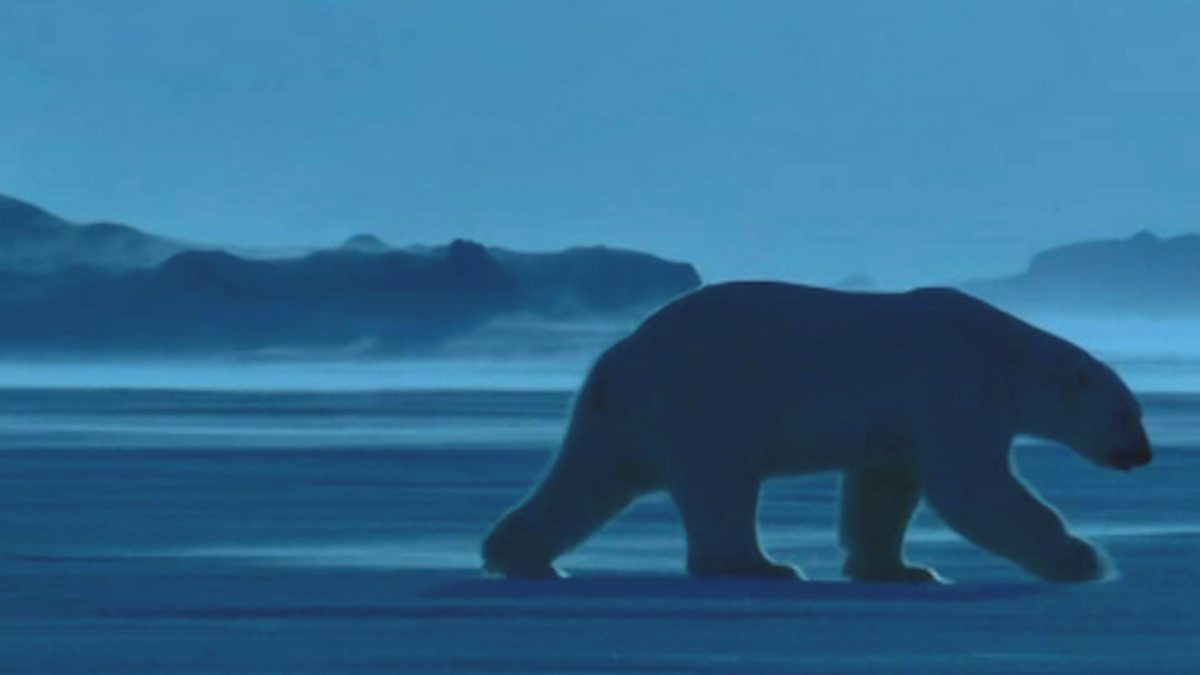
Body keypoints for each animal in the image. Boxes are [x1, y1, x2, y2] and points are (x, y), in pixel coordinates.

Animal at [482, 281, 1153, 582]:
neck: (1001, 355)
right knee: (720, 489)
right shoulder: (952, 394)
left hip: (619, 421)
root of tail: (615, 359)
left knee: (586, 480)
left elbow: (882, 489)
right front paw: (1084, 557)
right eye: (1129, 413)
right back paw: (758, 565)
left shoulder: (900, 425)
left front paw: (897, 568)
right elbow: (975, 489)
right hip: (703, 405)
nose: (1144, 455)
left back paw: (517, 555)